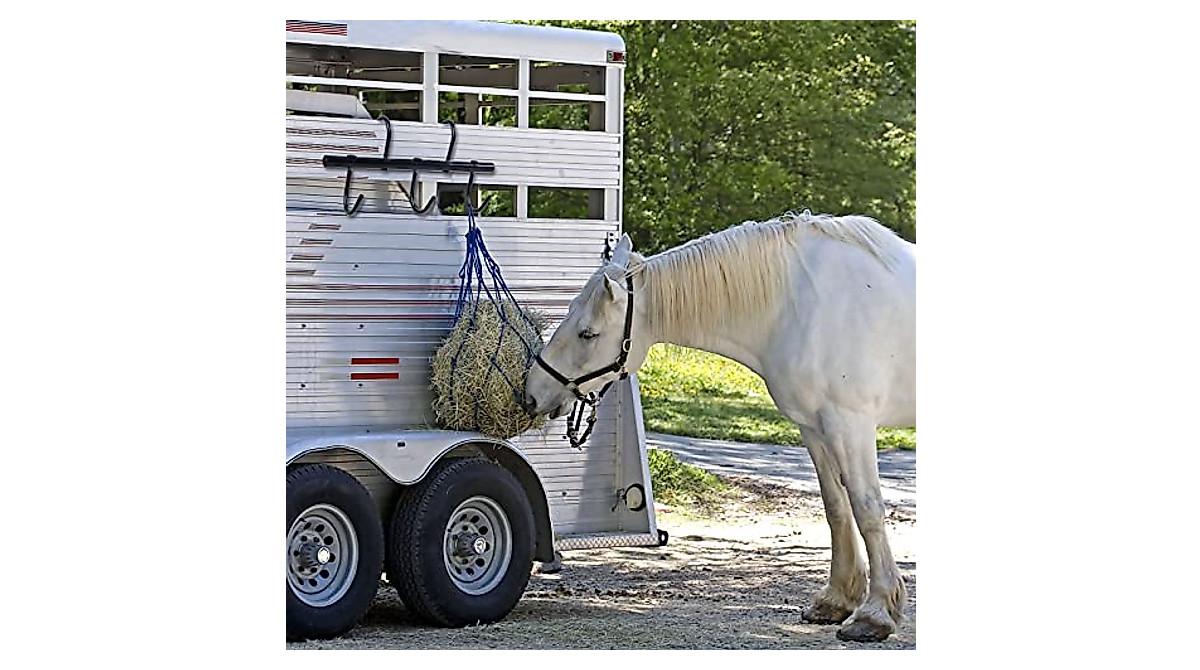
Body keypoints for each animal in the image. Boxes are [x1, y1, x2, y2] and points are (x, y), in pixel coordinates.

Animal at [524, 210, 916, 642]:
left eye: (587, 334)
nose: (532, 393)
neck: (800, 303)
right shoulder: (814, 427)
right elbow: (836, 508)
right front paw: (836, 601)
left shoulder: (850, 423)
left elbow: (867, 509)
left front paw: (874, 614)